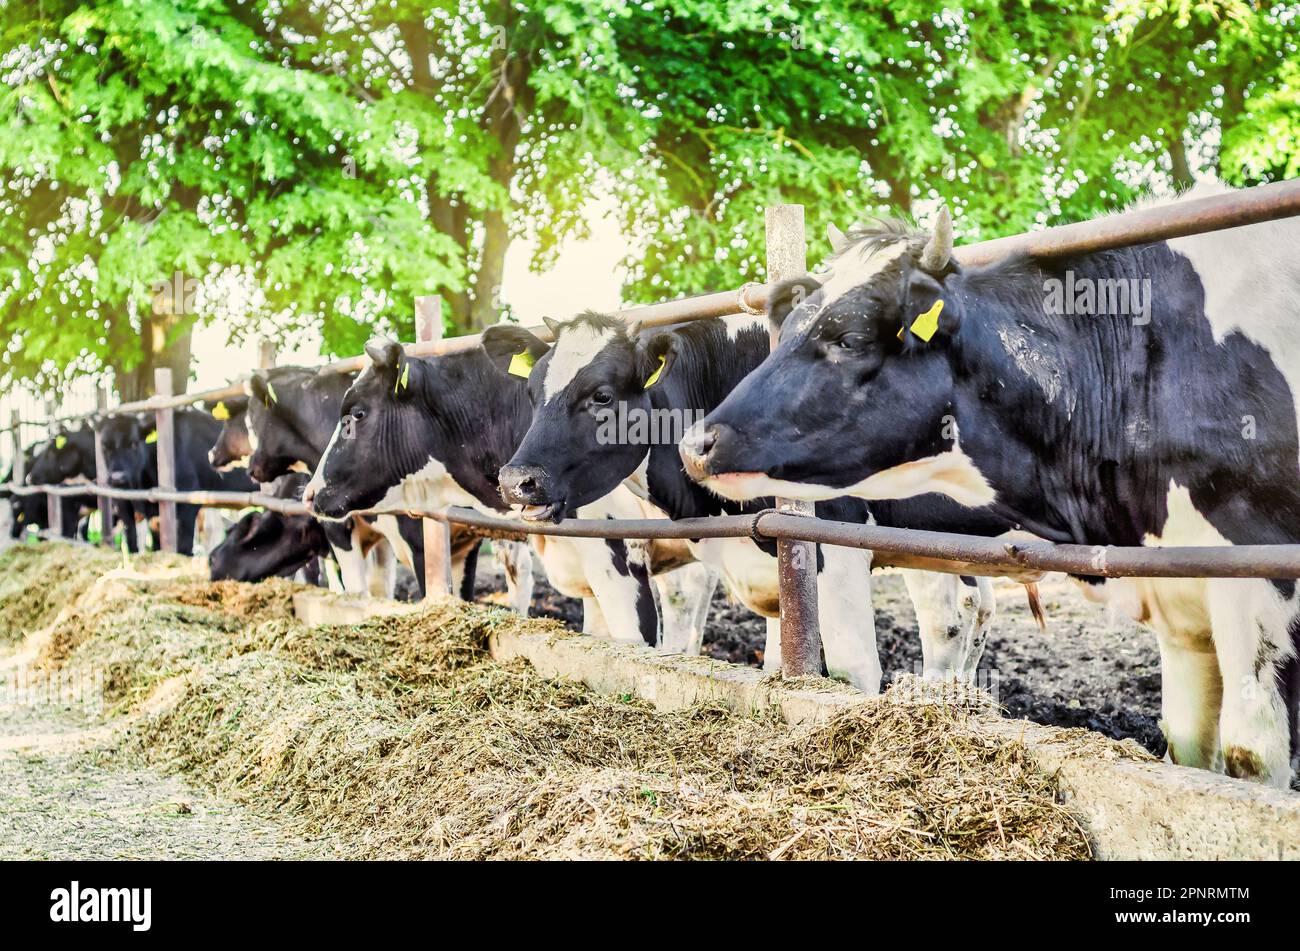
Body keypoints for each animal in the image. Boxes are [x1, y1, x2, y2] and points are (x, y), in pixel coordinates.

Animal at [99, 409, 257, 556]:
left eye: (134, 443)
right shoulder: (128, 508)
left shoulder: (189, 499)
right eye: (104, 447)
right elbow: (142, 543)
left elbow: (184, 545)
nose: (117, 478)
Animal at [682, 186, 1300, 787]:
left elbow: (1249, 756)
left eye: (849, 338)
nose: (696, 443)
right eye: (788, 328)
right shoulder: (1179, 600)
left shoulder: (1259, 577)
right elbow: (1189, 748)